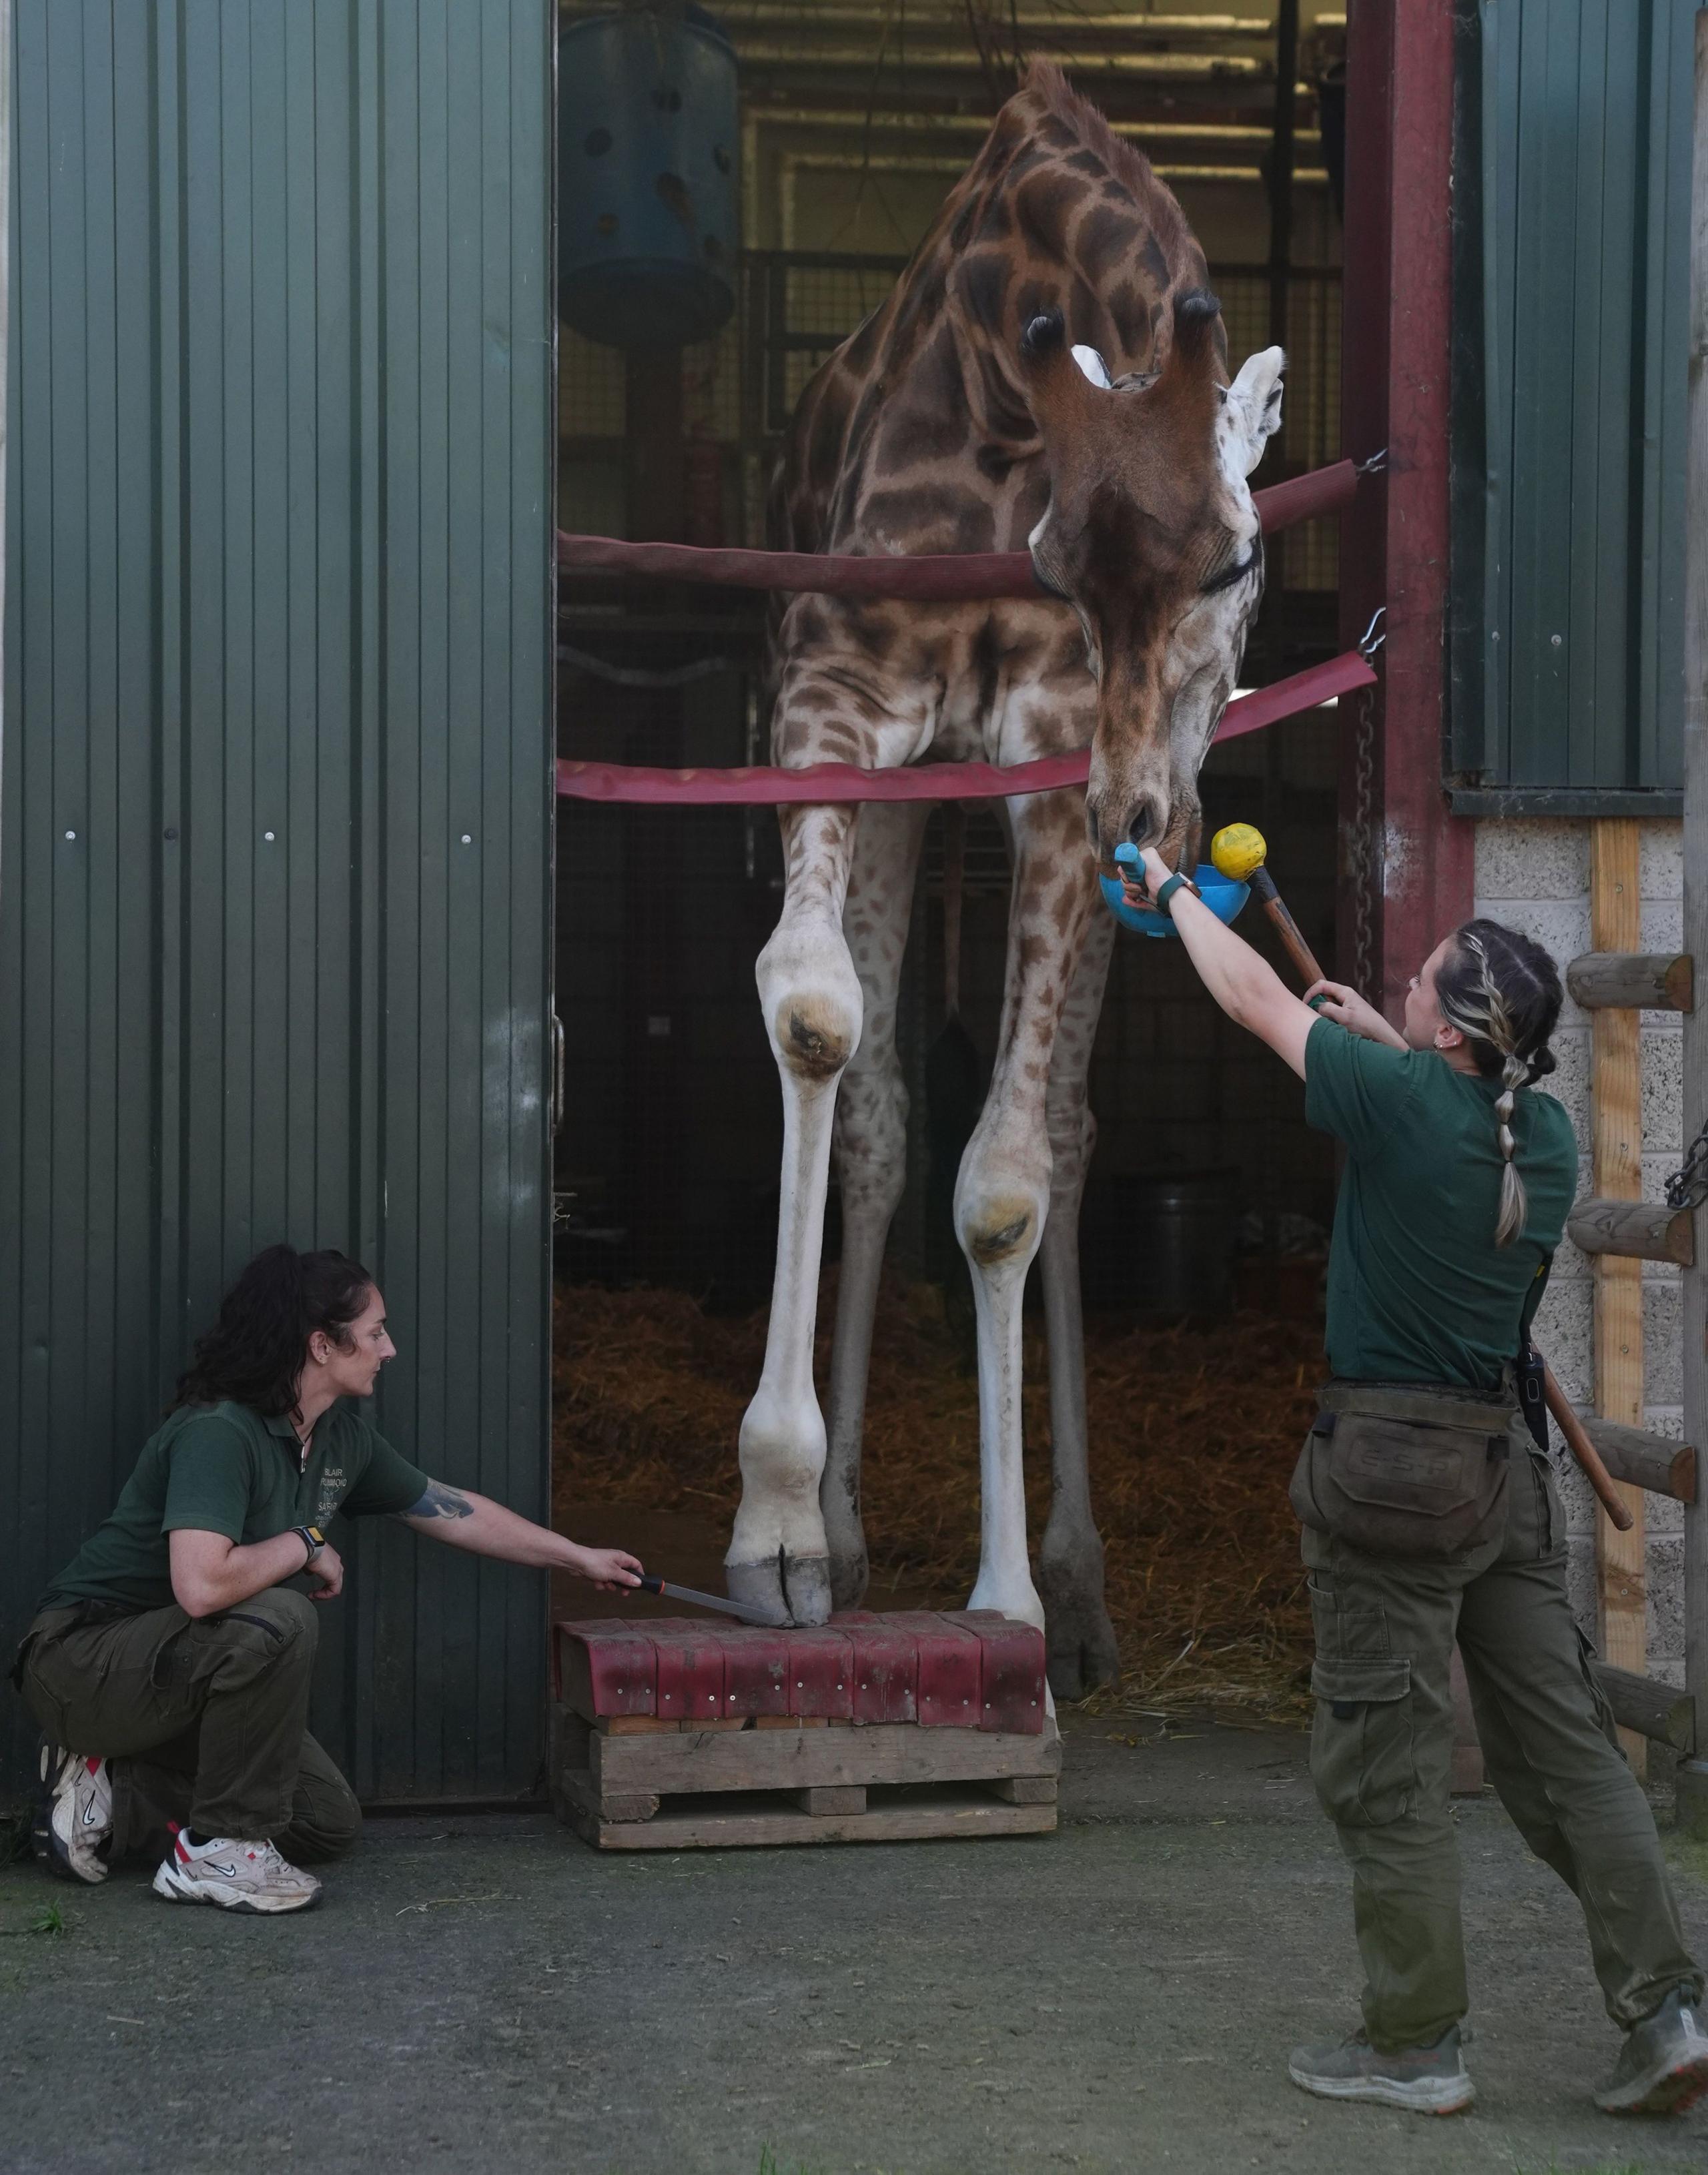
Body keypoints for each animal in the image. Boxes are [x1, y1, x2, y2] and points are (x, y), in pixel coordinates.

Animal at [726, 62, 1285, 1697]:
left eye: (1236, 563)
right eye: (1062, 569)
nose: (1158, 814)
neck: (992, 392)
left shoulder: (1043, 773)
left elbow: (1011, 1181)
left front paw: (1015, 1602)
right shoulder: (834, 703)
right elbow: (818, 1019)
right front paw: (776, 1527)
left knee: (1076, 1134)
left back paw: (1083, 1589)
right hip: (914, 803)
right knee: (875, 1107)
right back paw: (844, 1535)